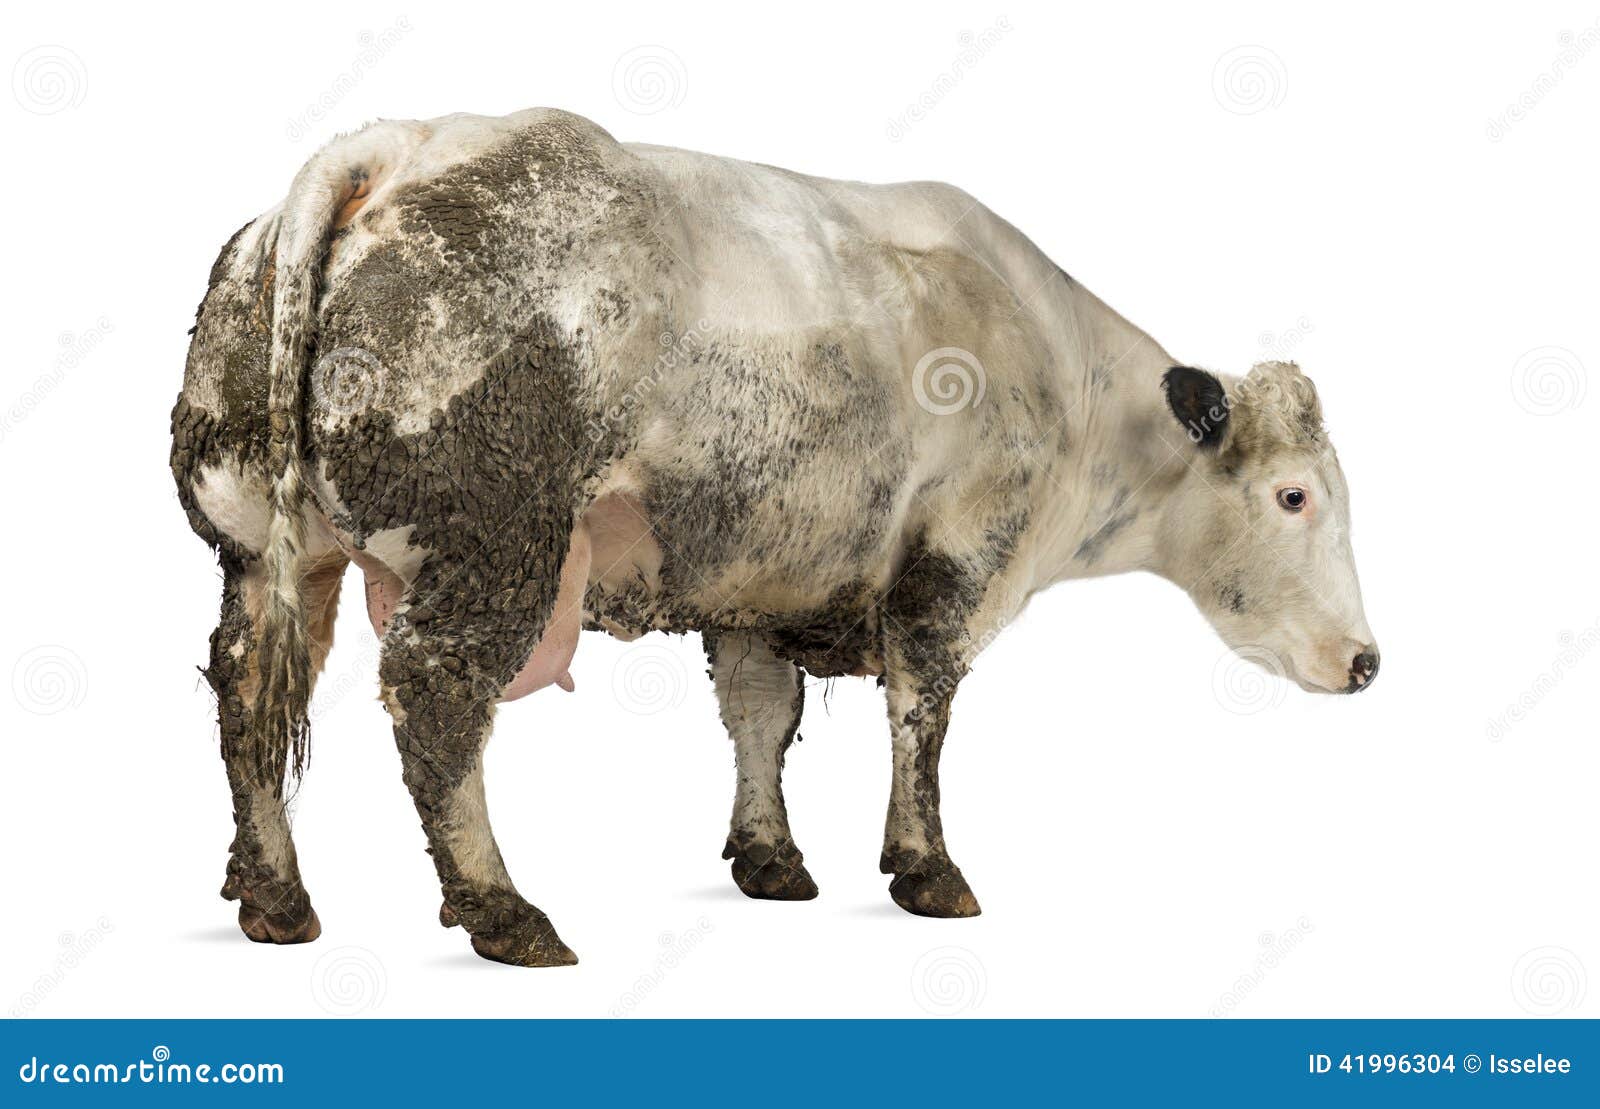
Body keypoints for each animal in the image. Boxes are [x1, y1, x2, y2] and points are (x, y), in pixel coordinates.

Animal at [170, 108, 1378, 967]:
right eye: (1293, 497)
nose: (1365, 659)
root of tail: (394, 146)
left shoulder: (757, 579)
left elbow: (761, 711)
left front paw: (772, 856)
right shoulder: (956, 557)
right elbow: (921, 713)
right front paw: (926, 869)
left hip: (261, 548)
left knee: (249, 690)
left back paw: (274, 894)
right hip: (494, 548)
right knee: (436, 703)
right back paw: (502, 908)